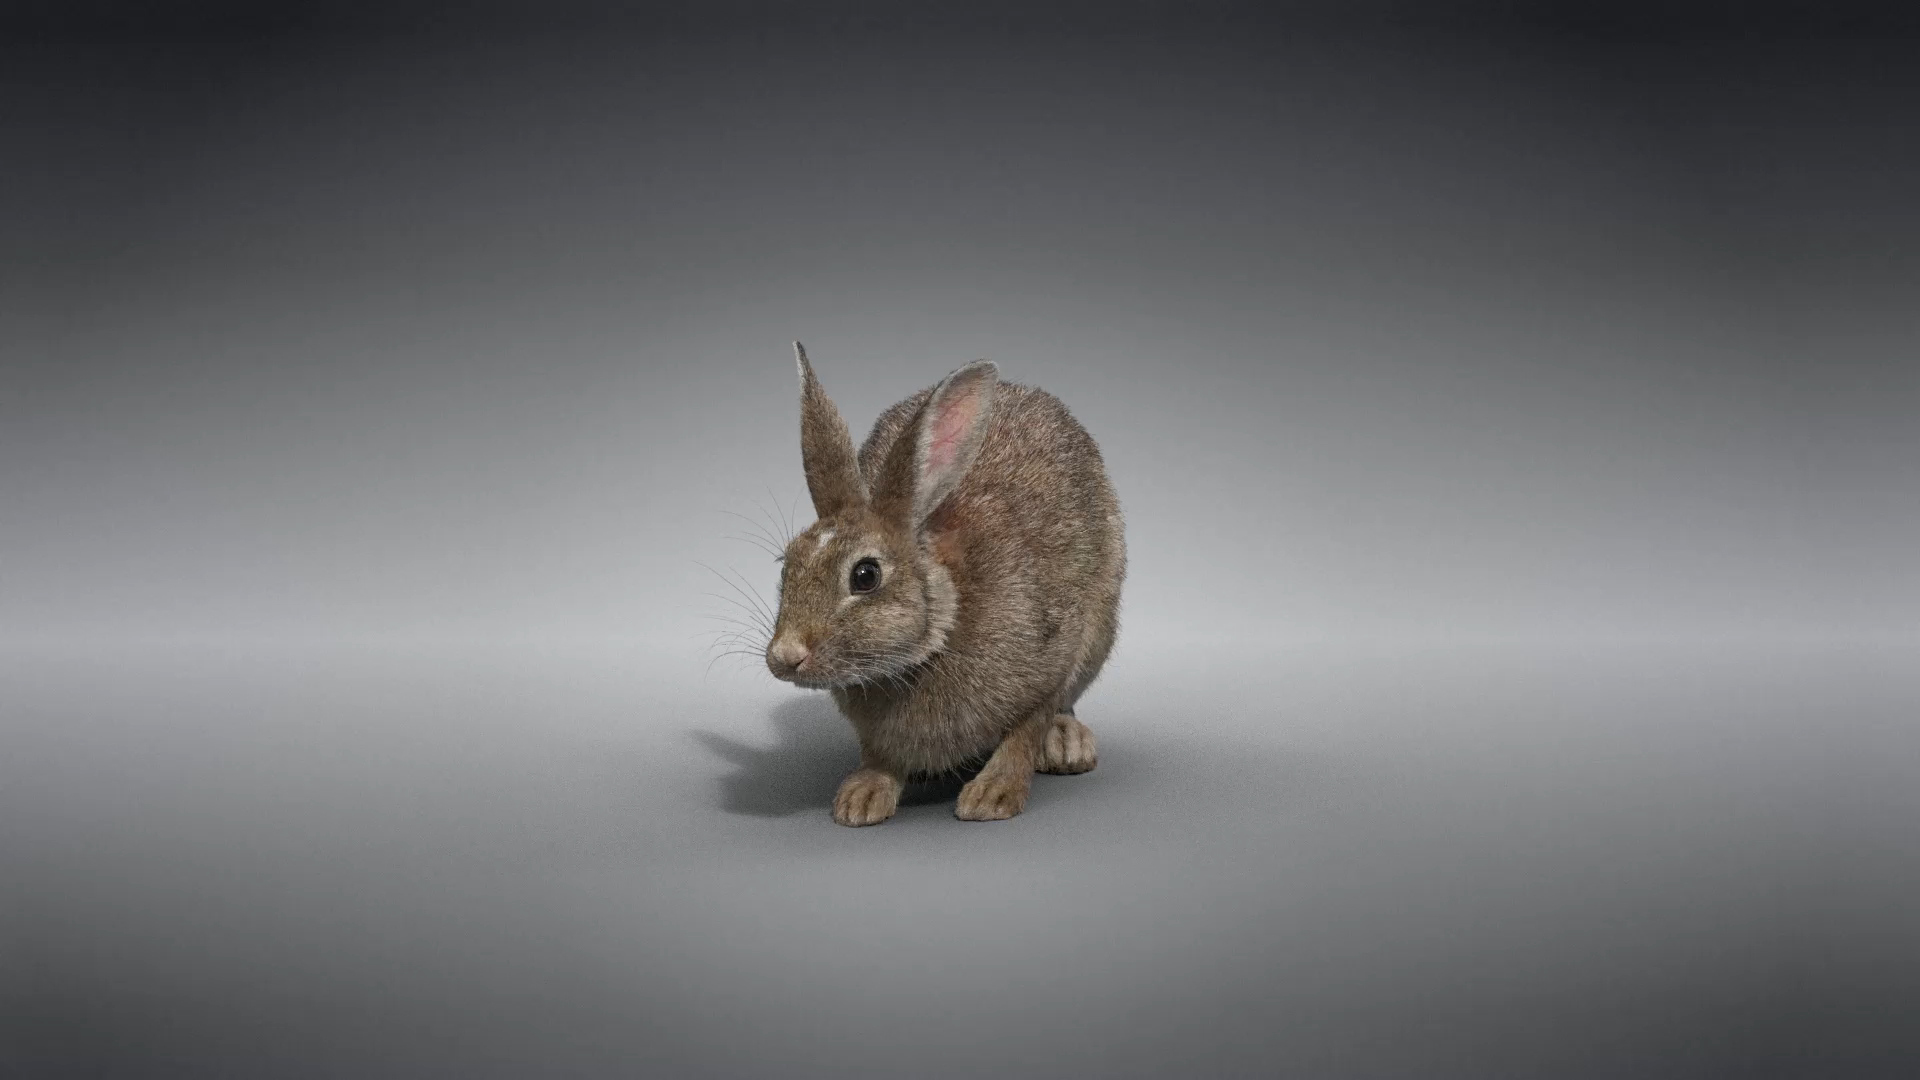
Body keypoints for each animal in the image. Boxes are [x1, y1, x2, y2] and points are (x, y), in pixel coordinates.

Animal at [765, 342, 1125, 826]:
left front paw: (991, 797)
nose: (784, 656)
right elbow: (880, 755)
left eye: (865, 575)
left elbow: (1026, 729)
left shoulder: (1052, 660)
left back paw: (1068, 745)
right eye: (787, 565)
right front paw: (860, 799)